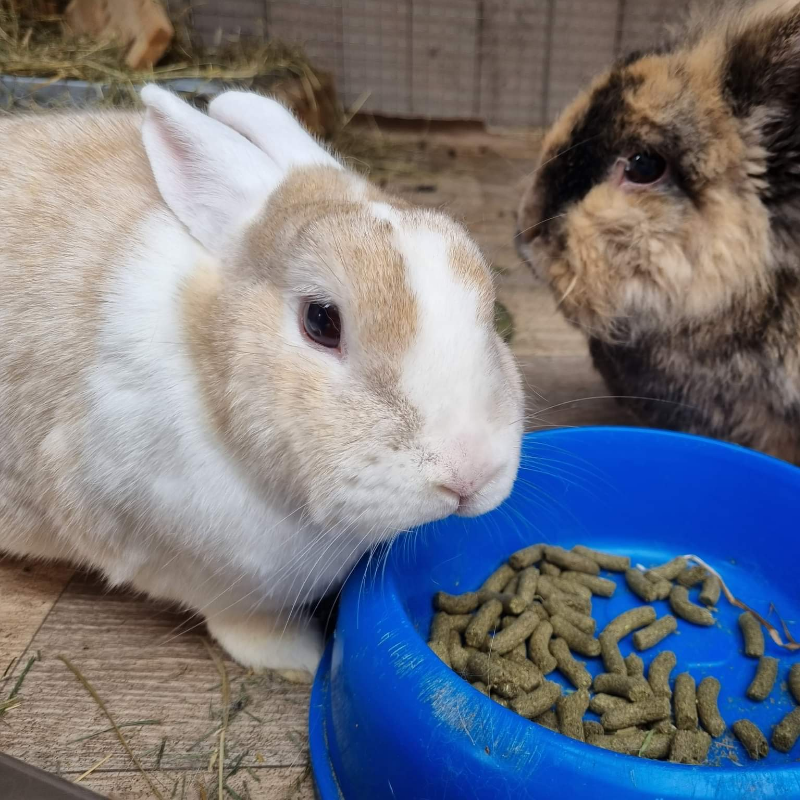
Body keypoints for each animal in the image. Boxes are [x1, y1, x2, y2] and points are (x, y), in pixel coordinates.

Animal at [0, 86, 524, 675]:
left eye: (488, 306)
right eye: (321, 321)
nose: (471, 473)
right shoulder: (181, 563)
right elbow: (246, 622)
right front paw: (300, 658)